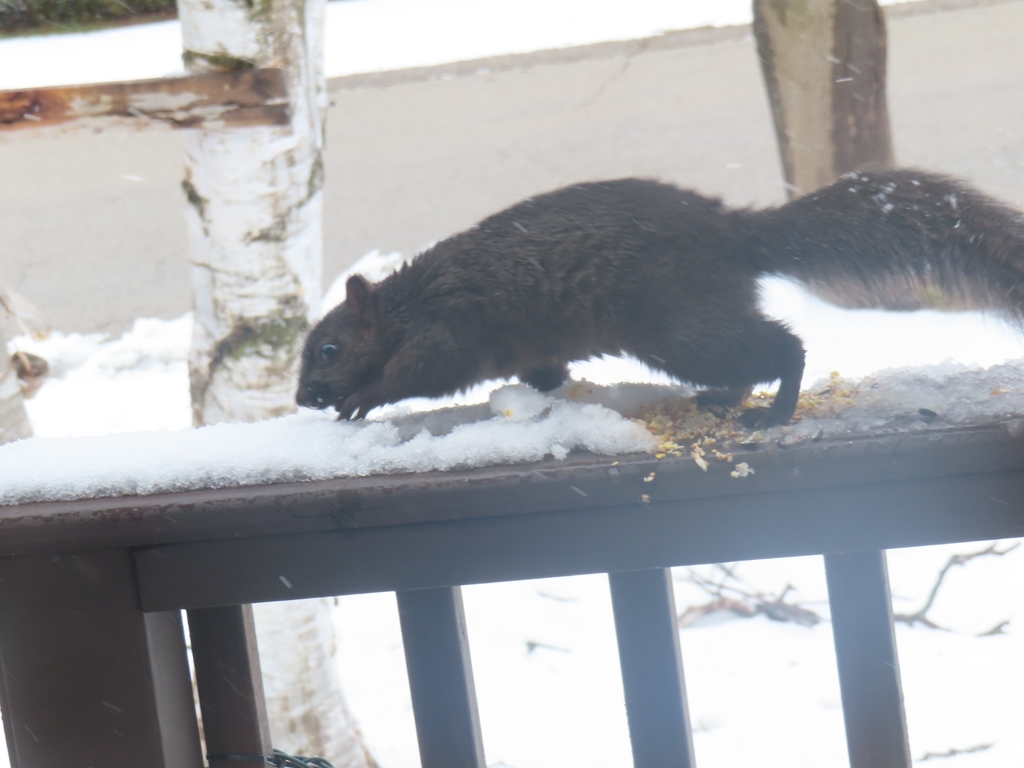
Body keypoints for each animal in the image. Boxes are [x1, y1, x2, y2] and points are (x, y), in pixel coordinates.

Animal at [296, 168, 1024, 427]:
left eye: (329, 349)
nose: (304, 397)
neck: (407, 305)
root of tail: (735, 235)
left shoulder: (449, 329)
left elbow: (422, 373)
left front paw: (365, 397)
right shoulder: (526, 346)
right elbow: (544, 371)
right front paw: (541, 391)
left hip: (682, 330)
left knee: (782, 348)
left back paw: (773, 410)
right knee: (752, 358)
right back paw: (728, 400)